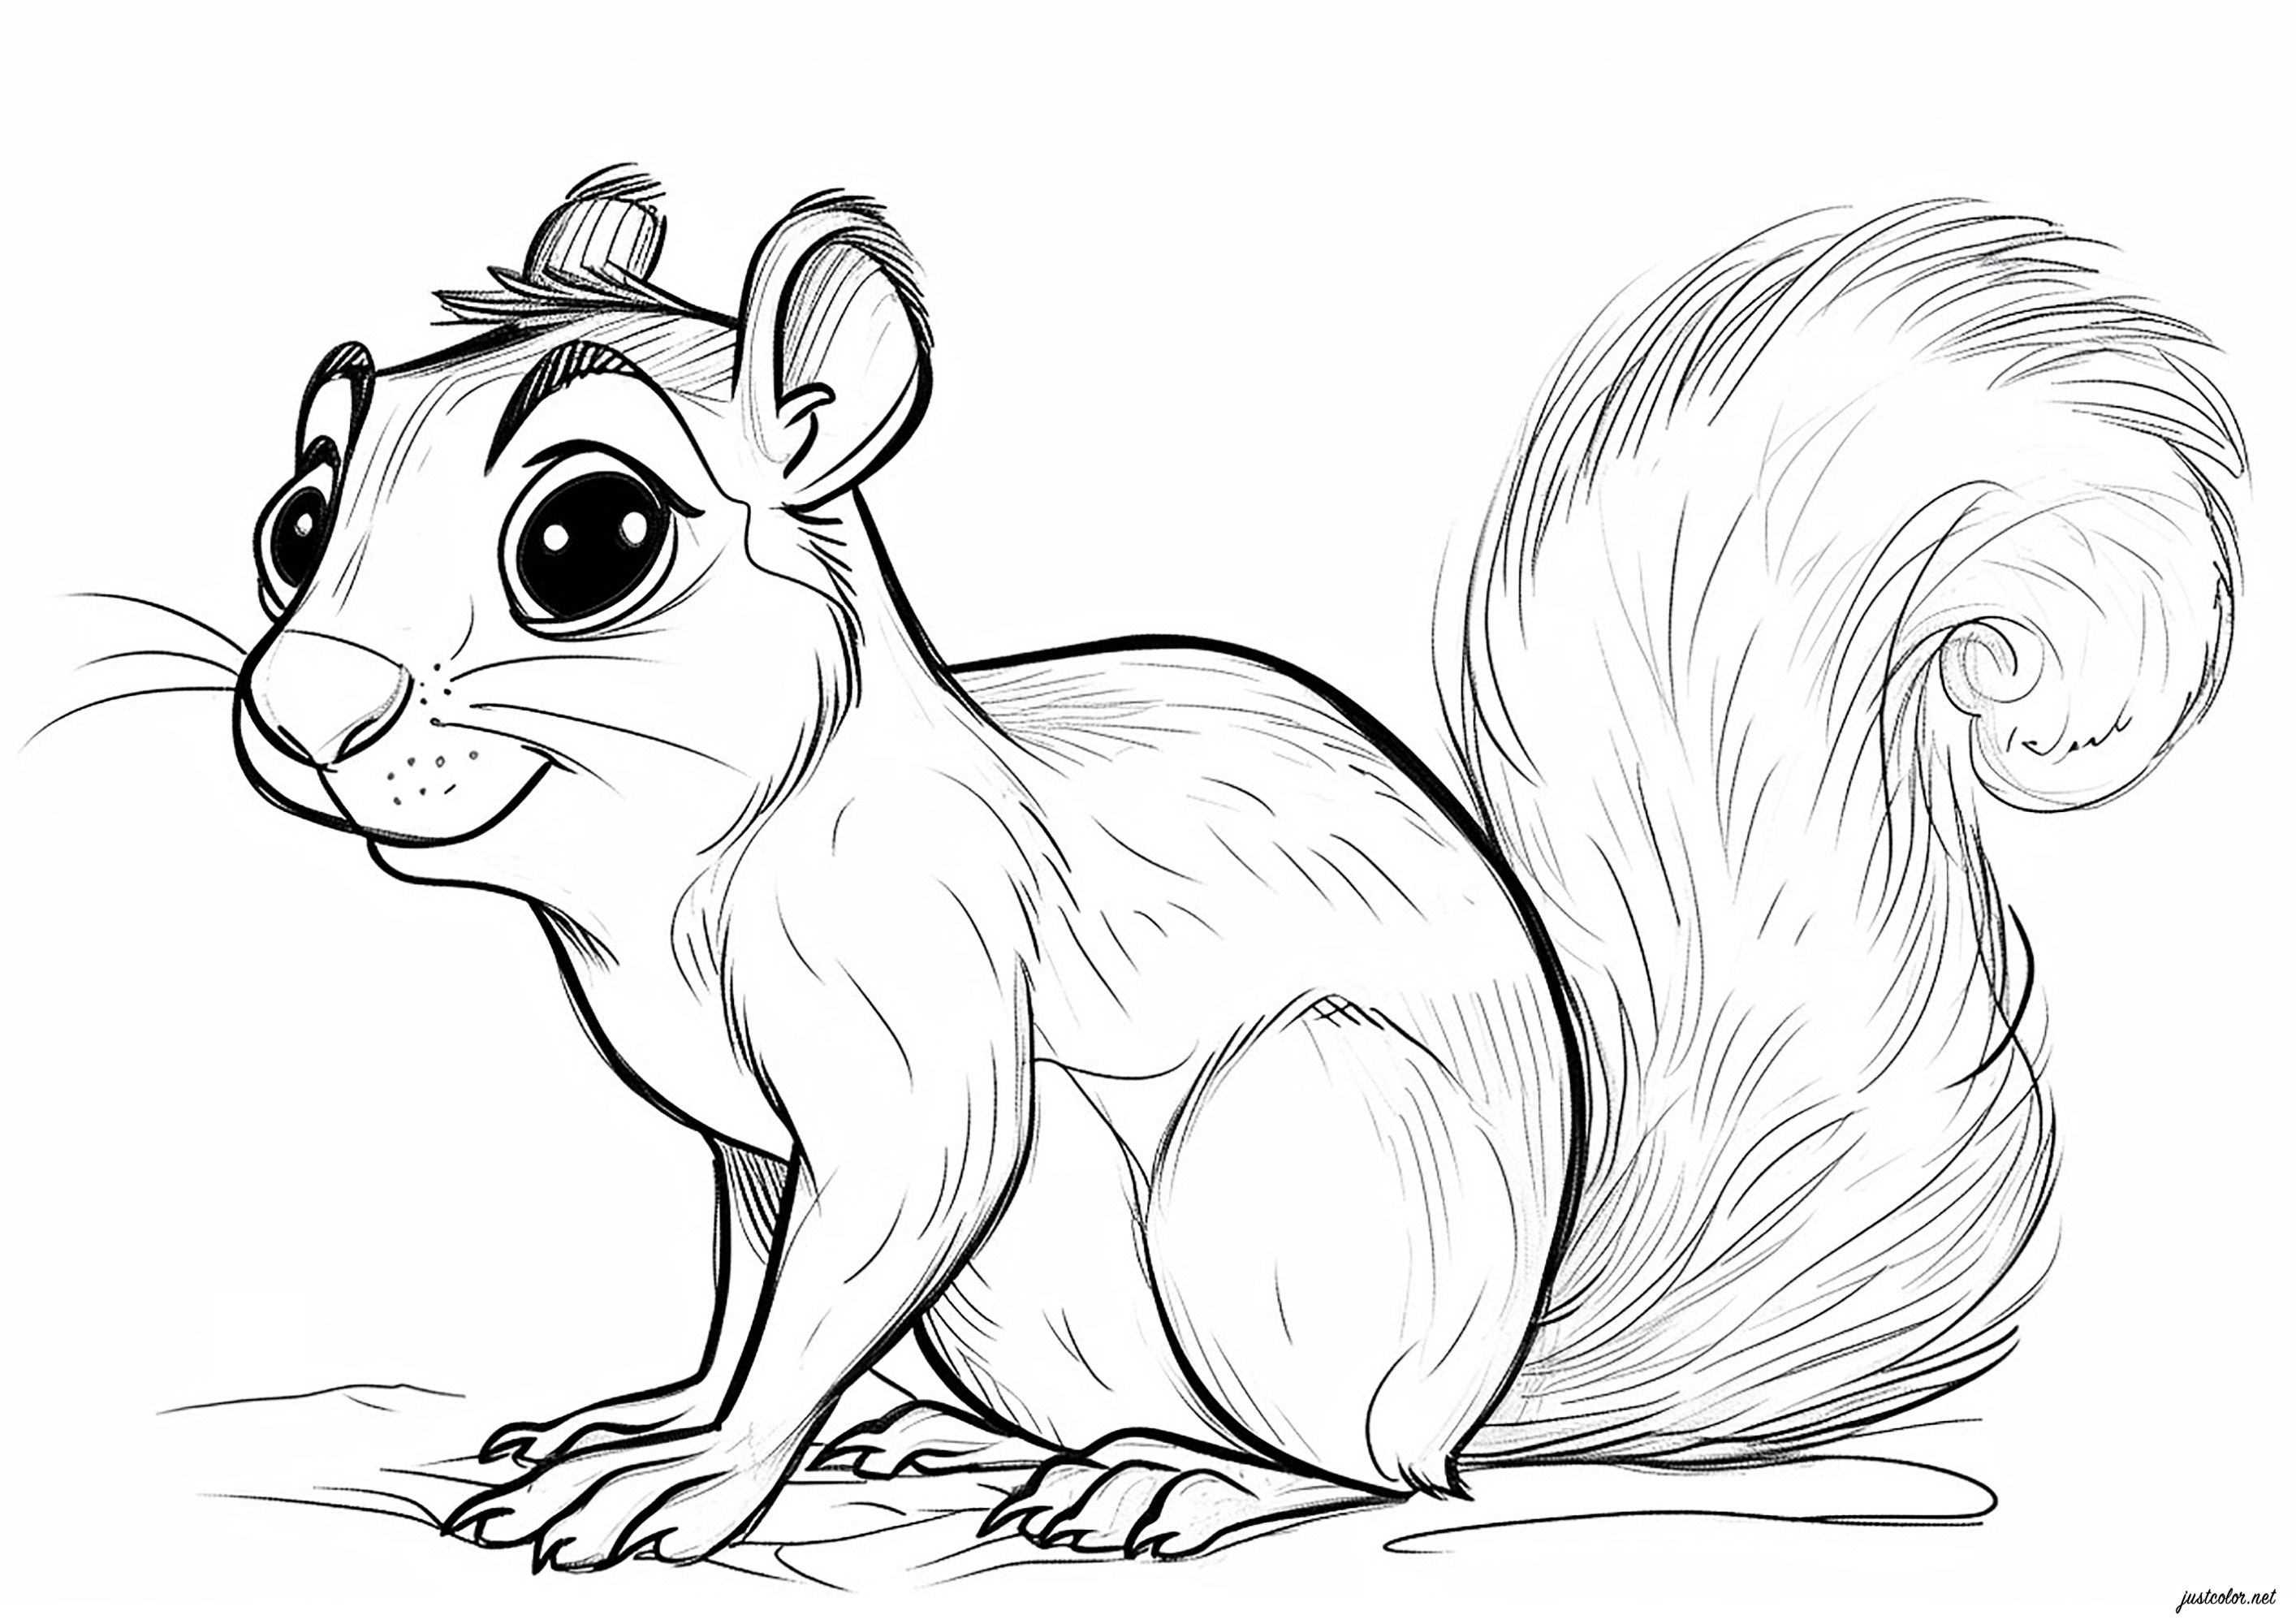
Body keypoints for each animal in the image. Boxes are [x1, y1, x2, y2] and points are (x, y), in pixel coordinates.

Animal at [228, 167, 2243, 1569]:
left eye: (591, 537)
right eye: (297, 515)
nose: (303, 714)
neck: (688, 866)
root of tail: (1482, 1381)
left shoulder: (917, 1015)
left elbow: (864, 1245)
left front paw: (696, 1480)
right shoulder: (748, 1145)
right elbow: (750, 1297)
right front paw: (656, 1418)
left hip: (1305, 1156)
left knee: (1360, 1472)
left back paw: (1180, 1485)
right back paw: (982, 1445)